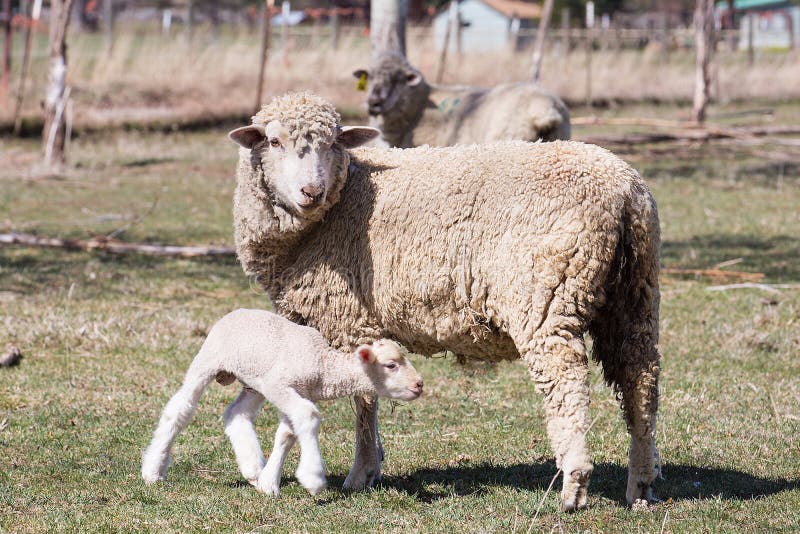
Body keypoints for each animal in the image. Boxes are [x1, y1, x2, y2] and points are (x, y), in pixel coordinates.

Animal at [141, 308, 424, 497]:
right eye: (391, 365)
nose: (419, 384)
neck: (323, 365)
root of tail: (235, 312)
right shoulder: (280, 385)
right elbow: (308, 416)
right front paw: (312, 477)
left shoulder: (300, 391)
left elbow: (287, 434)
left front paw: (268, 483)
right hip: (209, 360)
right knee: (180, 409)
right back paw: (153, 471)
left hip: (253, 381)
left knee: (236, 413)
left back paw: (253, 468)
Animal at [228, 92, 662, 511]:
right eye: (273, 141)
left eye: (334, 143)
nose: (312, 192)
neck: (344, 196)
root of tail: (624, 192)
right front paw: (373, 465)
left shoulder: (349, 316)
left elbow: (363, 399)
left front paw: (360, 473)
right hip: (633, 294)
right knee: (640, 378)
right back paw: (641, 482)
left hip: (547, 296)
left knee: (567, 380)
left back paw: (573, 486)